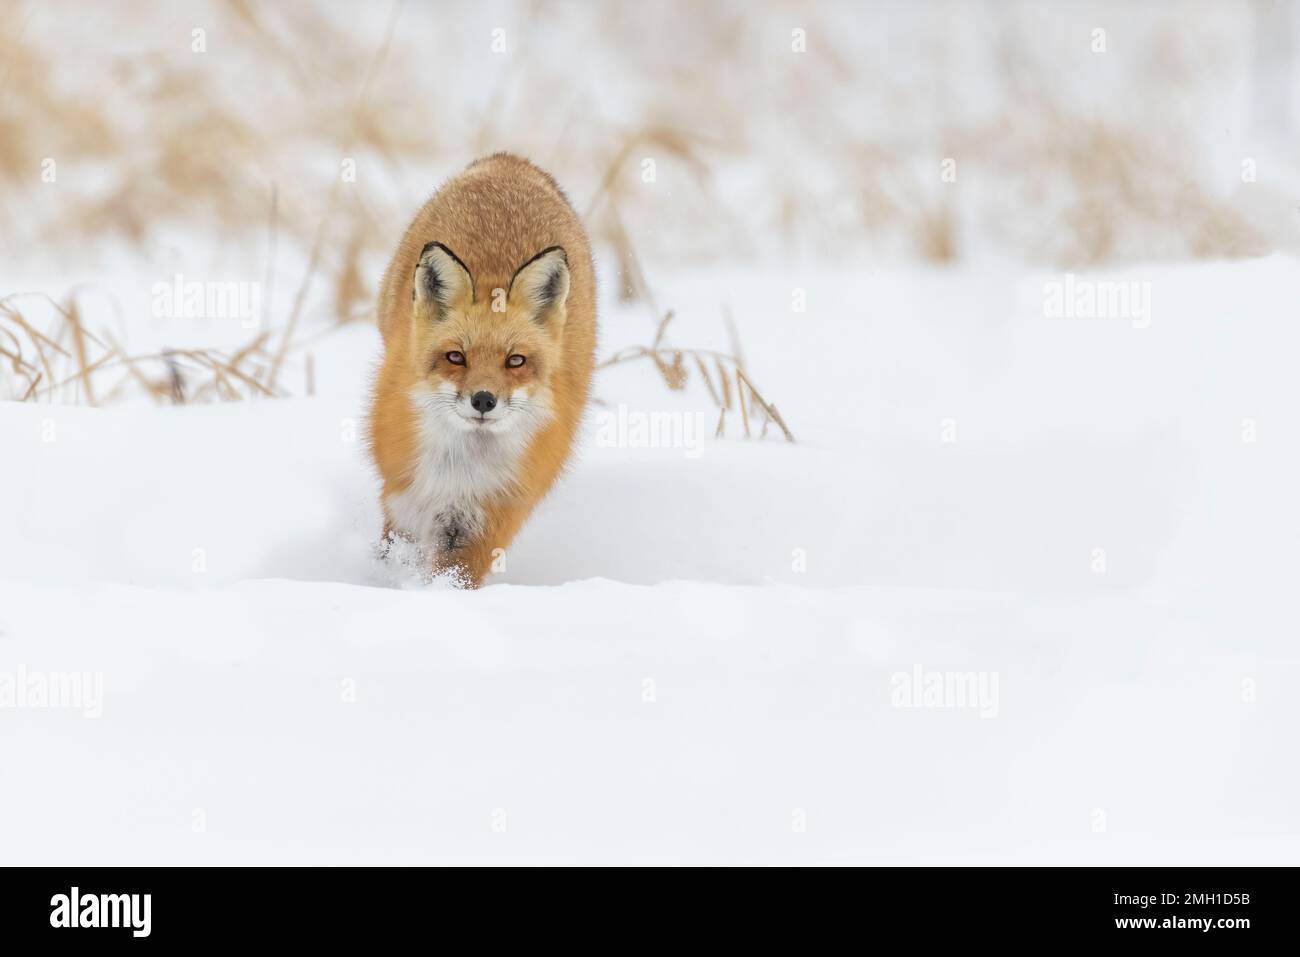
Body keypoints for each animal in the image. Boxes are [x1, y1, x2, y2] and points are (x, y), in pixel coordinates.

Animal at [368, 153, 597, 587]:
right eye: (456, 357)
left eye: (516, 361)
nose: (484, 400)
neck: (462, 467)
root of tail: (511, 161)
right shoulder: (404, 496)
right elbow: (393, 553)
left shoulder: (488, 517)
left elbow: (454, 577)